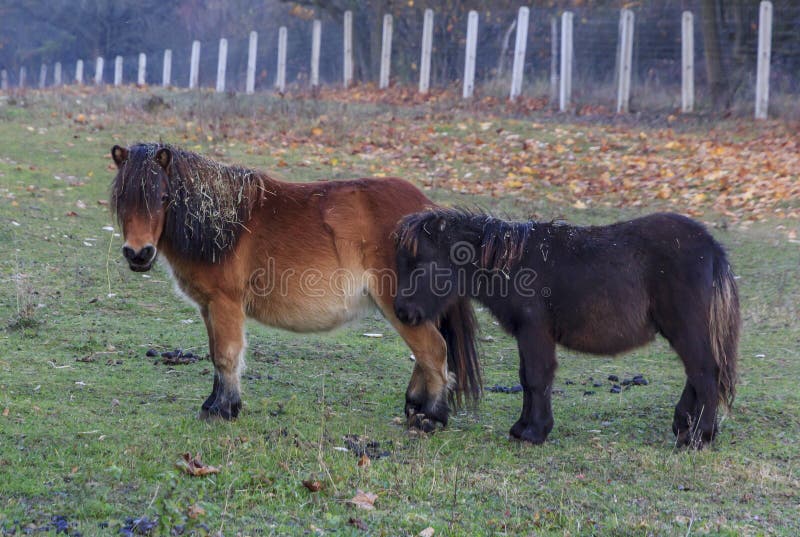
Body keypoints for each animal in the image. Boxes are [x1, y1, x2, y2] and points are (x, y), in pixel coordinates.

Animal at [109, 143, 482, 429]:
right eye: (121, 197)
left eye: (164, 196)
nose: (138, 254)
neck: (220, 226)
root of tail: (429, 211)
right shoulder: (207, 308)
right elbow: (216, 354)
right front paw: (214, 404)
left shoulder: (225, 304)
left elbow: (227, 356)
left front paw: (223, 410)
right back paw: (415, 406)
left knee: (433, 351)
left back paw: (432, 418)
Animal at [394, 208, 740, 448]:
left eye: (422, 263)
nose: (401, 312)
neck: (513, 265)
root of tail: (711, 247)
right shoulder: (528, 334)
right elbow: (528, 378)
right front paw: (523, 428)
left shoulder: (534, 332)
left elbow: (536, 378)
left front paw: (534, 432)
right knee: (699, 373)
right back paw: (685, 426)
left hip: (686, 327)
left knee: (705, 373)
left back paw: (698, 437)